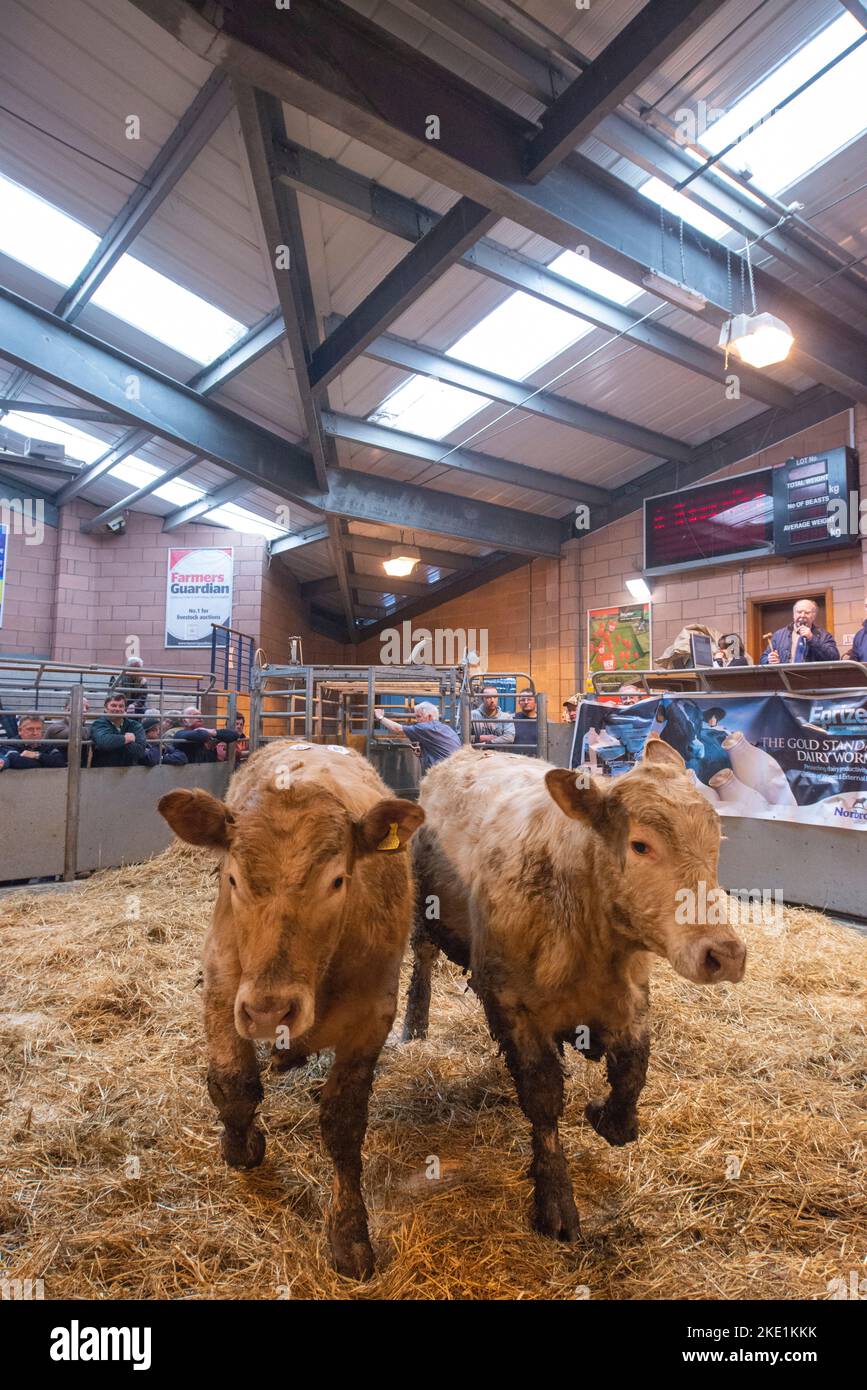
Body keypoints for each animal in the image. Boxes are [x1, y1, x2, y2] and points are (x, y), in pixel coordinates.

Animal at [158, 742, 424, 1279]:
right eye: (232, 877)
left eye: (338, 880)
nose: (270, 1012)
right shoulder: (224, 984)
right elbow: (234, 1086)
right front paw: (240, 1147)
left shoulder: (373, 1014)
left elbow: (343, 1122)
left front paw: (349, 1234)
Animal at [402, 738, 746, 1241]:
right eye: (640, 845)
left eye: (716, 841)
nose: (725, 954)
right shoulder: (515, 1008)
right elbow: (543, 1099)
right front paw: (556, 1200)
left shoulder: (629, 999)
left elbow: (632, 1072)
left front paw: (607, 1115)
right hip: (426, 915)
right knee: (423, 962)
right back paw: (415, 1026)